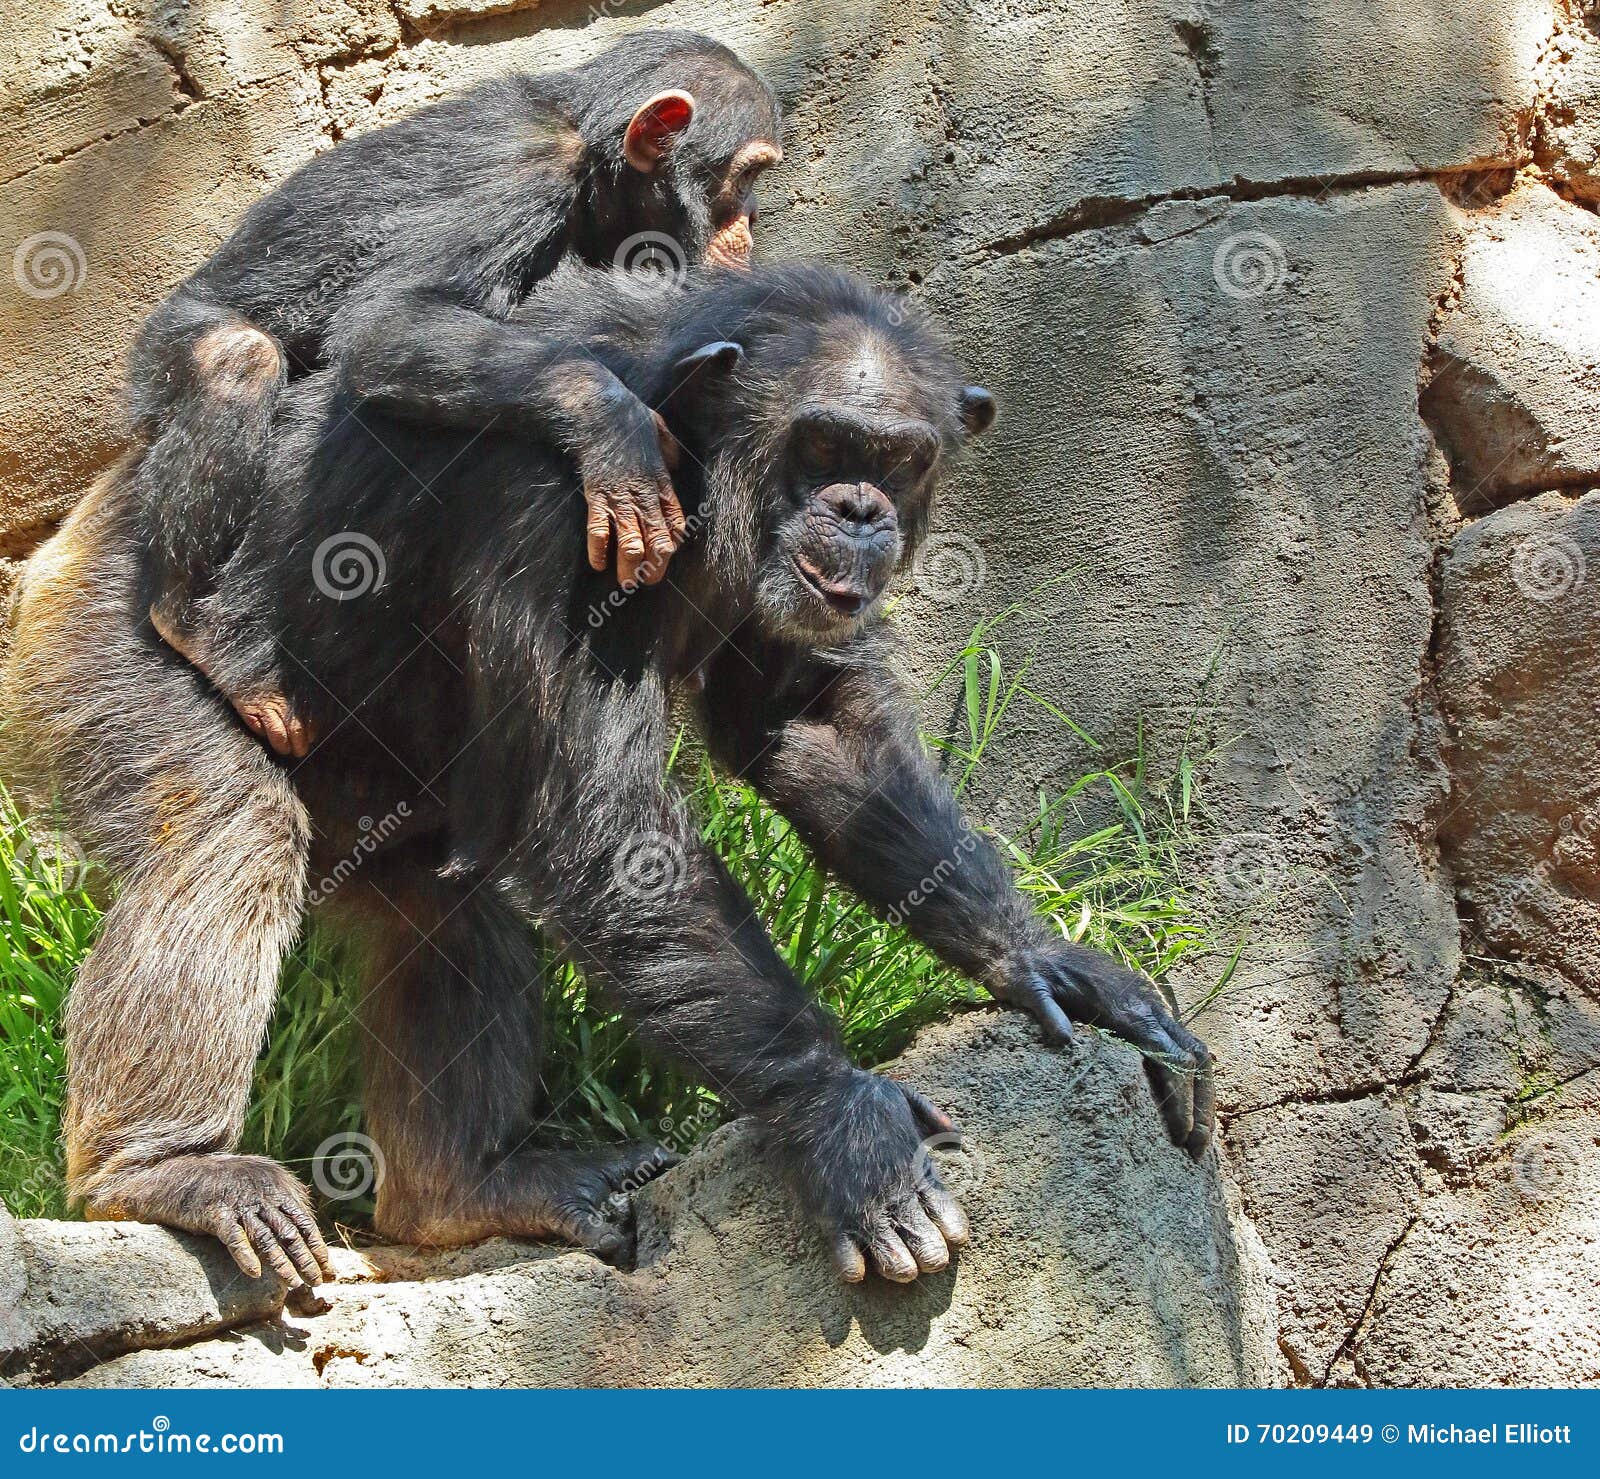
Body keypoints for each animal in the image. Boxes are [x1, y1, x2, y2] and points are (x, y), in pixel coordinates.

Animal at [2, 263, 1214, 1288]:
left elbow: (810, 721)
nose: (861, 510)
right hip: (96, 647)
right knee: (224, 835)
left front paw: (1047, 963)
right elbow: (607, 823)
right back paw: (165, 1172)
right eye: (824, 444)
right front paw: (839, 1116)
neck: (698, 462)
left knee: (445, 908)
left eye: (900, 458)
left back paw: (462, 1192)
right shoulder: (546, 503)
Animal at [127, 30, 783, 759]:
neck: (589, 155)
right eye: (746, 177)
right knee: (235, 361)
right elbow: (392, 319)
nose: (752, 225)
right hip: (166, 354)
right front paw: (612, 426)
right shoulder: (515, 181)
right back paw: (197, 630)